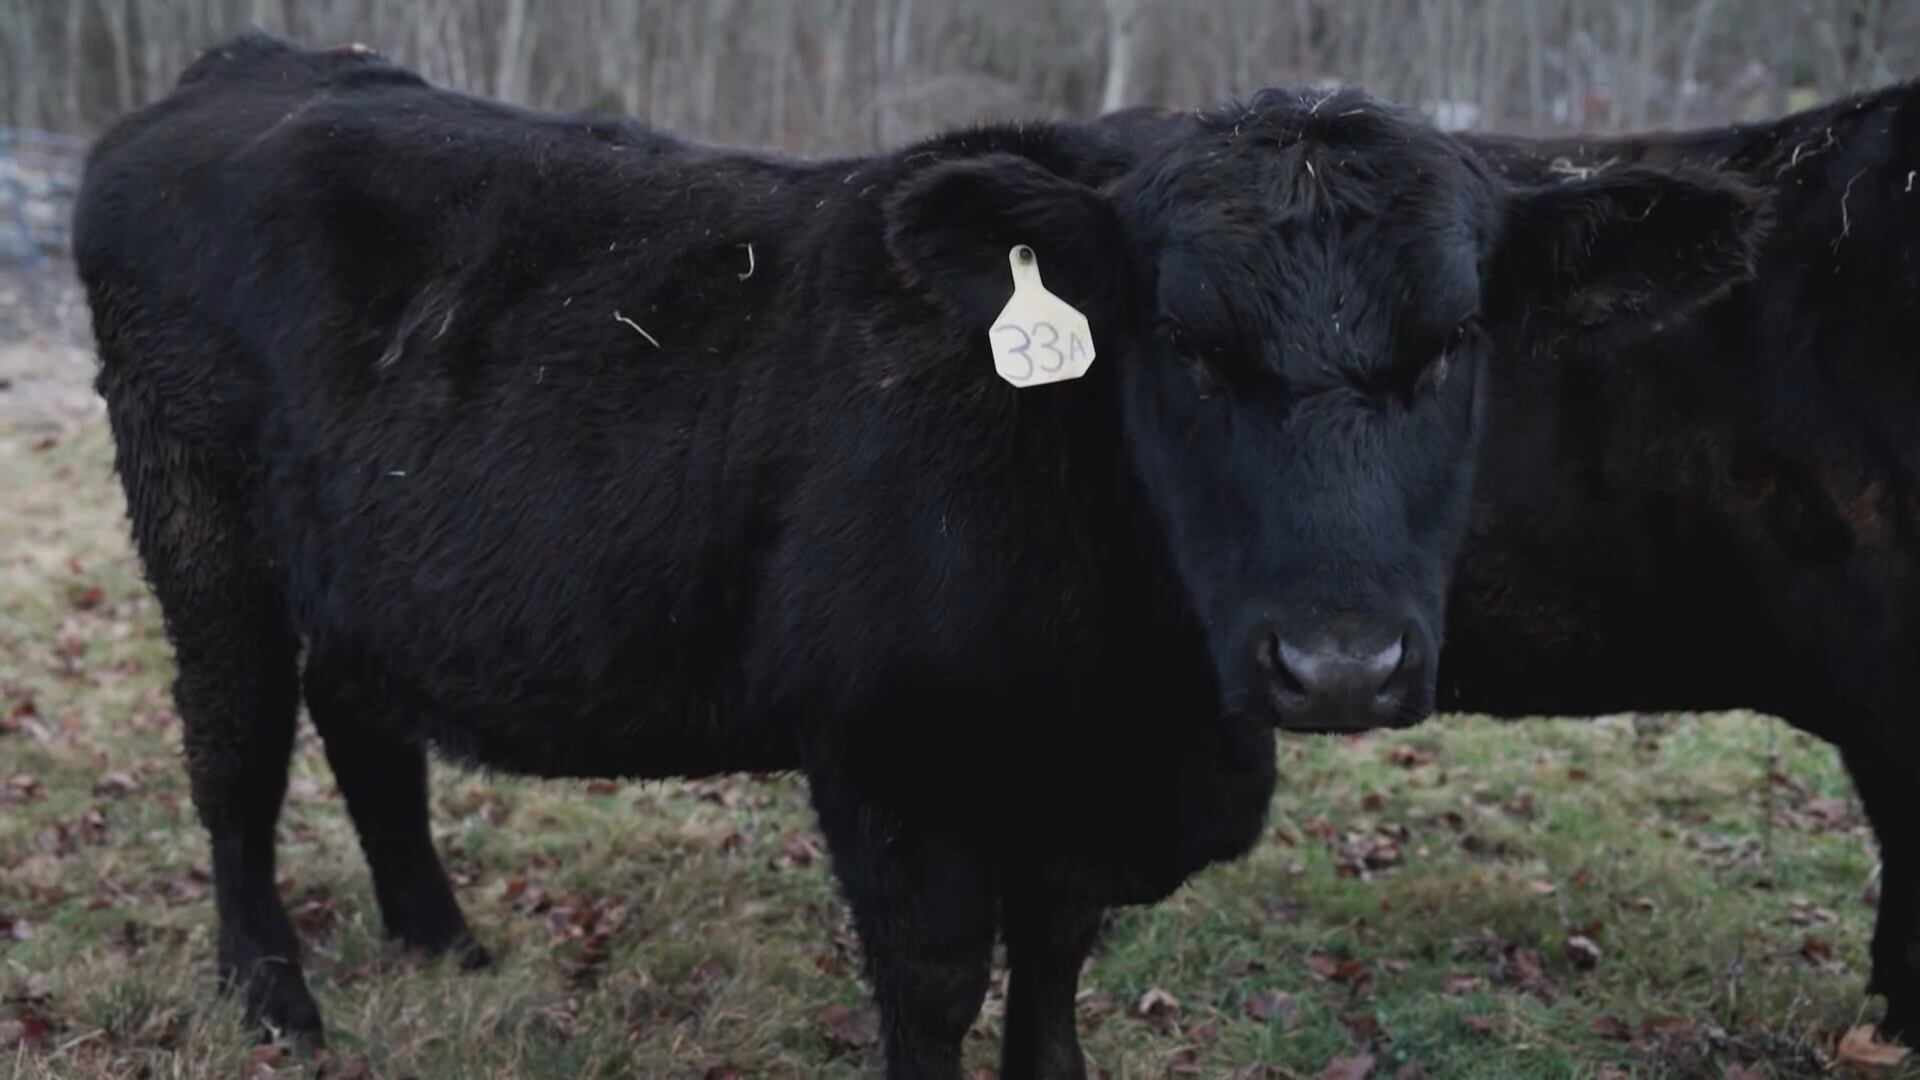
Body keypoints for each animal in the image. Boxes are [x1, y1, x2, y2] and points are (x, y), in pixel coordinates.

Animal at [72, 32, 1765, 1078]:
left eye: (1460, 337)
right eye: (1182, 341)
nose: (1338, 663)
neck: (1142, 707)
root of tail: (254, 63)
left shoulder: (1071, 810)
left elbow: (1056, 975)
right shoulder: (888, 762)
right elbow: (941, 990)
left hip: (362, 562)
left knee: (366, 728)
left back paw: (441, 941)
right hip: (197, 526)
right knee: (236, 758)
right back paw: (275, 997)